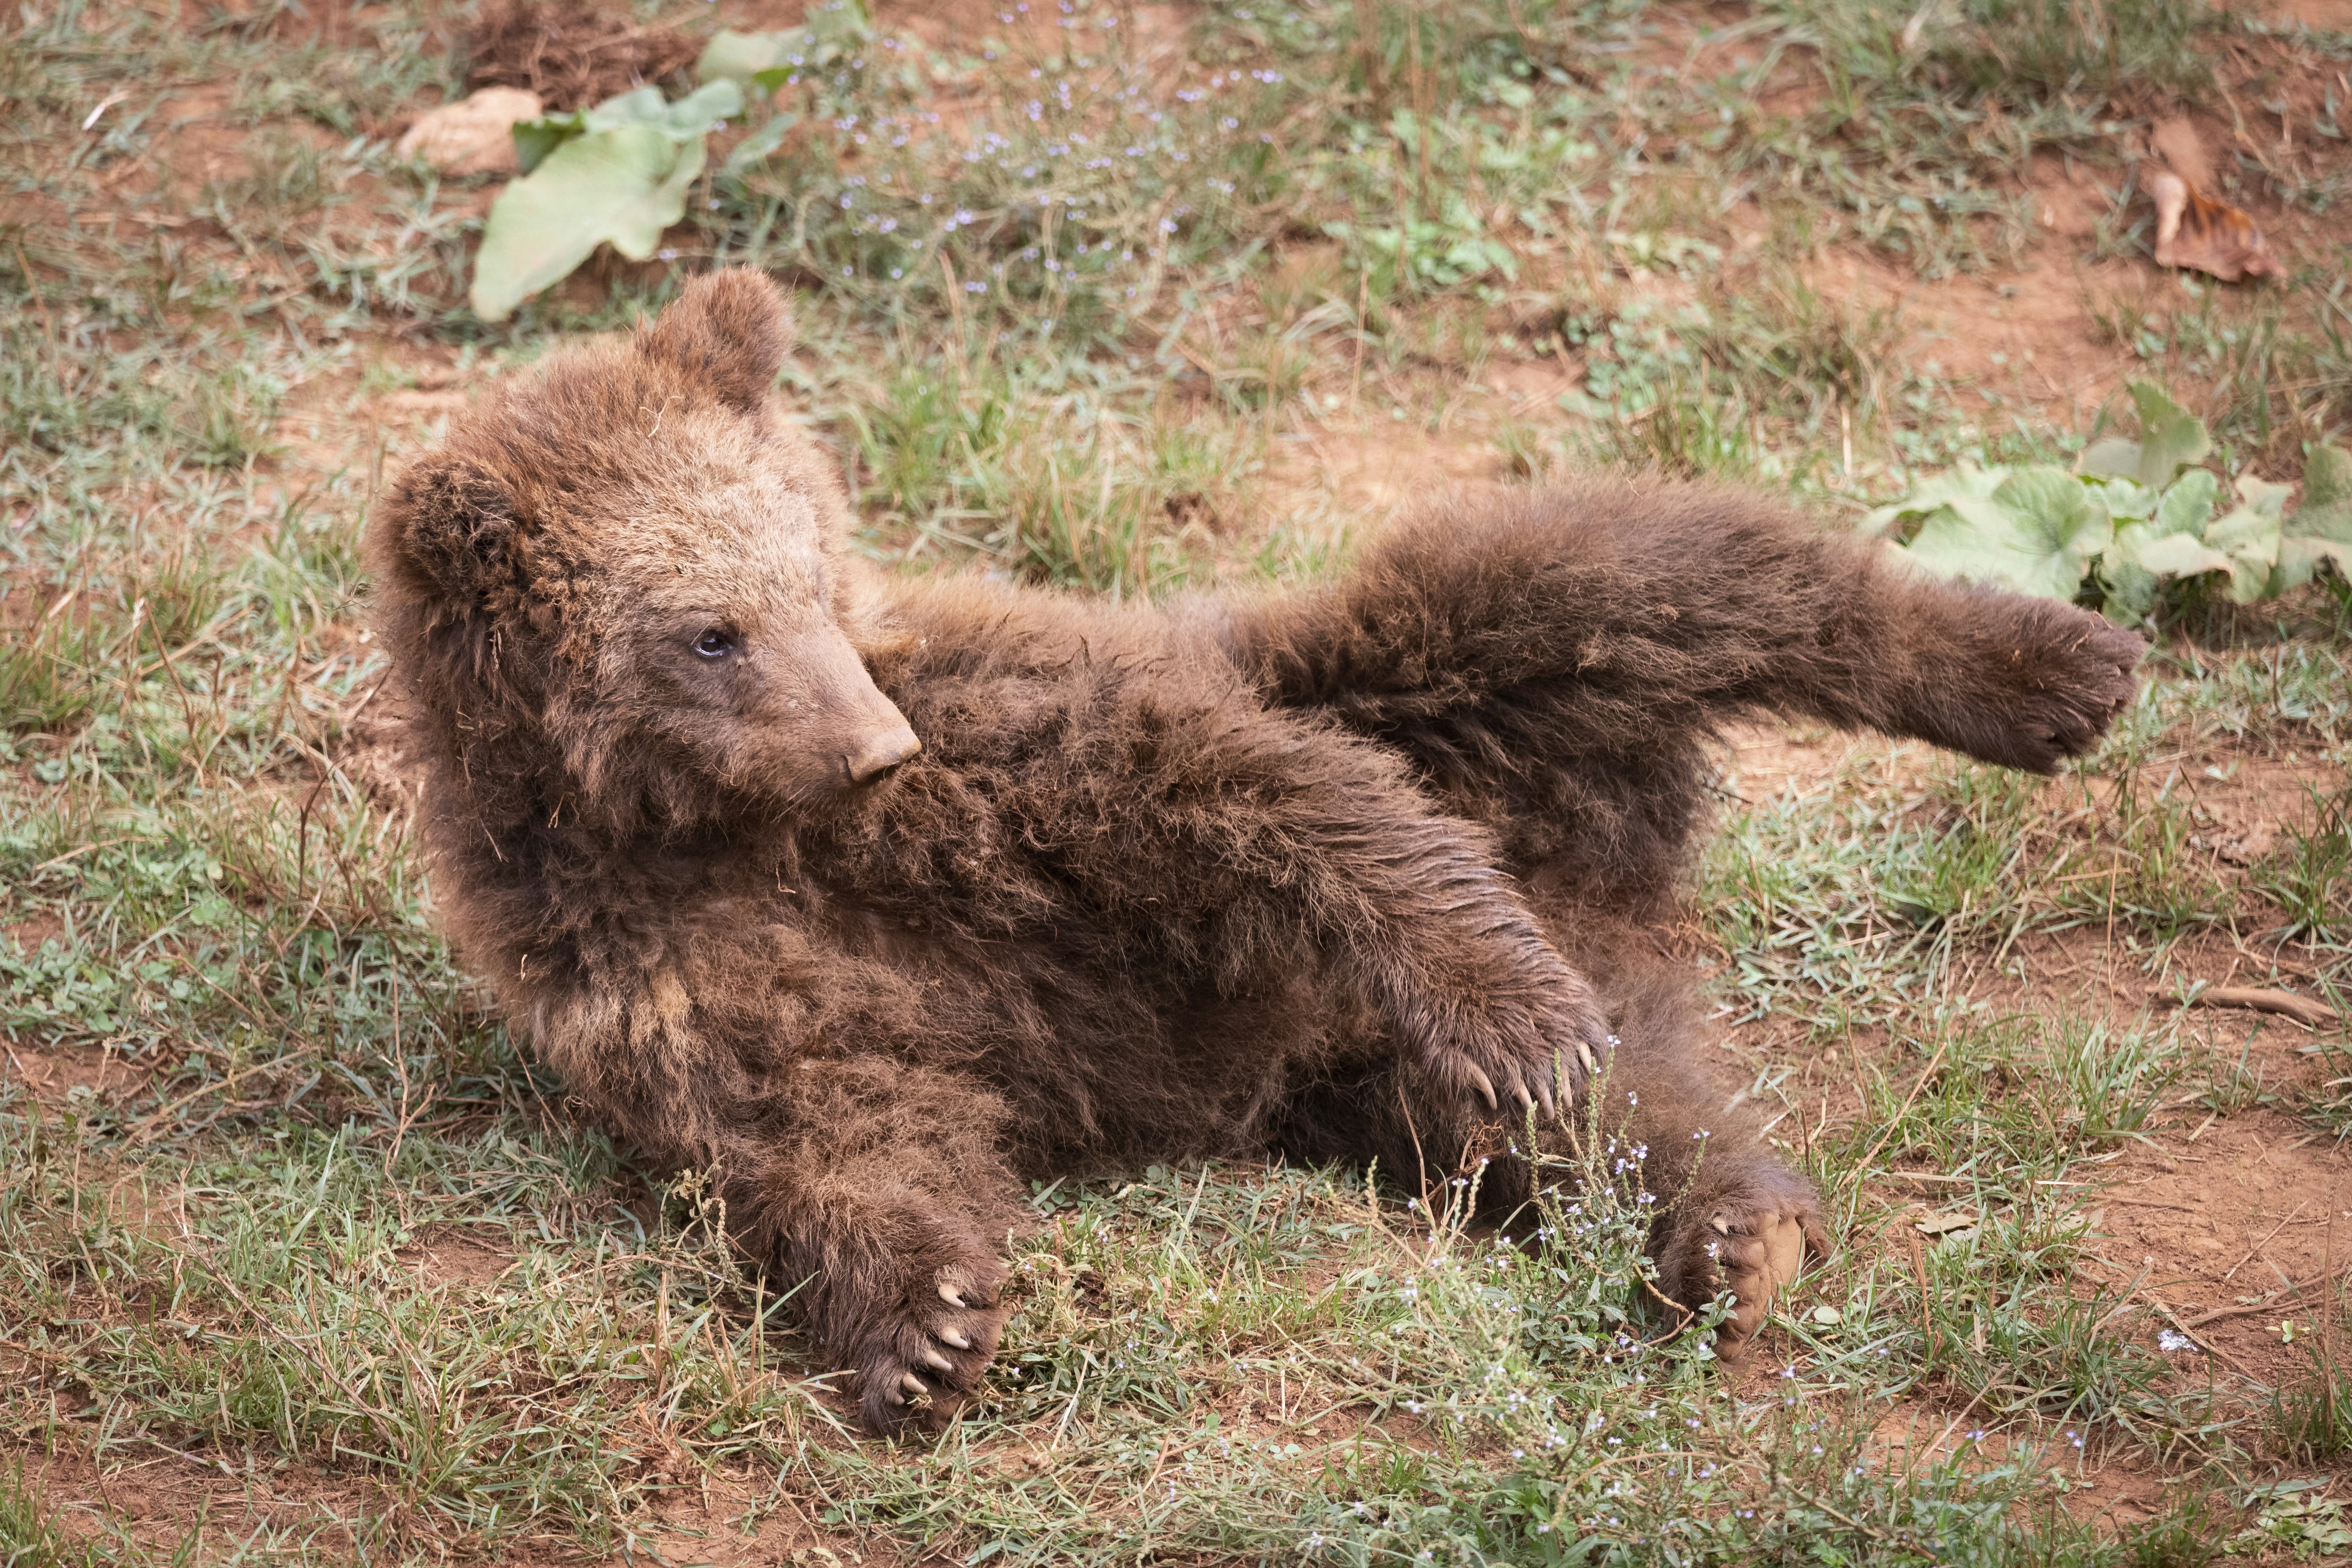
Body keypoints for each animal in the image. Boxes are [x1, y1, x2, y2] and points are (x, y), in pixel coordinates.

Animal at [367, 269, 2145, 1434]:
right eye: (709, 631)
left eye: (804, 562)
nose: (871, 742)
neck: (717, 828)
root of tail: (1609, 862)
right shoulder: (657, 961)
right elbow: (836, 1126)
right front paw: (922, 1327)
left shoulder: (1030, 742)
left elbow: (1258, 797)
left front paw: (1505, 1000)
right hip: (1393, 1065)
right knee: (1632, 1098)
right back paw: (1723, 1232)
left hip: (1436, 672)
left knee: (1635, 571)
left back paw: (2051, 668)